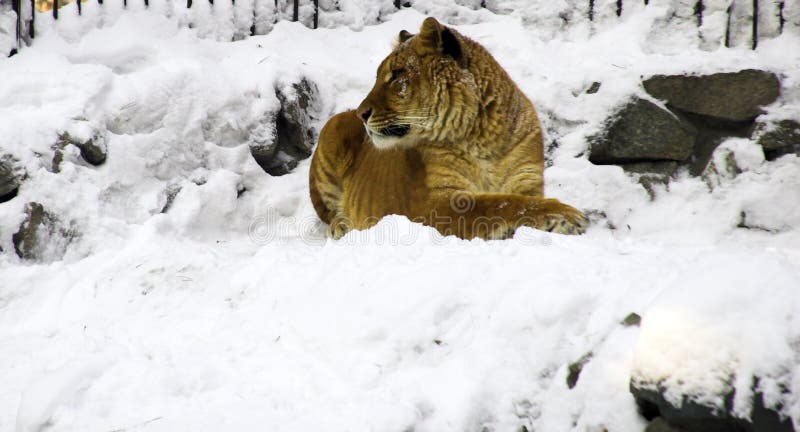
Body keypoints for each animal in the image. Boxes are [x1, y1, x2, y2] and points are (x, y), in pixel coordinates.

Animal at [309, 17, 588, 240]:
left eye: (396, 74)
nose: (361, 113)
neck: (484, 138)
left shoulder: (527, 181)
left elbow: (519, 200)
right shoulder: (433, 204)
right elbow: (500, 204)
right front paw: (565, 215)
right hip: (332, 129)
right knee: (328, 213)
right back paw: (341, 225)